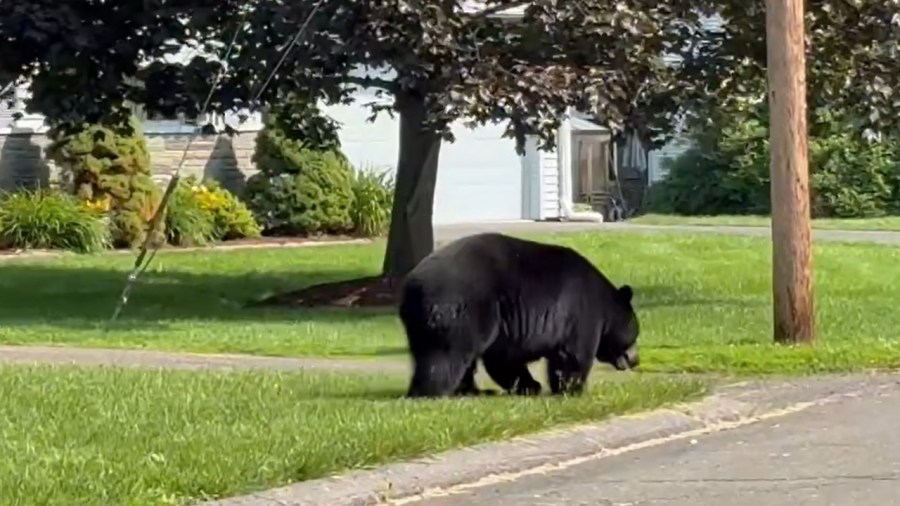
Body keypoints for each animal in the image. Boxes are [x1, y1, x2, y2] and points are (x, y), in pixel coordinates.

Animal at [398, 232, 640, 398]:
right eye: (635, 333)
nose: (635, 360)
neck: (604, 304)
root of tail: (412, 285)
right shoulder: (580, 312)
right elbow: (573, 353)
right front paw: (573, 389)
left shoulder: (510, 325)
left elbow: (504, 359)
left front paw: (531, 386)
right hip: (461, 308)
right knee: (448, 354)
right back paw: (434, 391)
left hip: (425, 323)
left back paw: (471, 390)